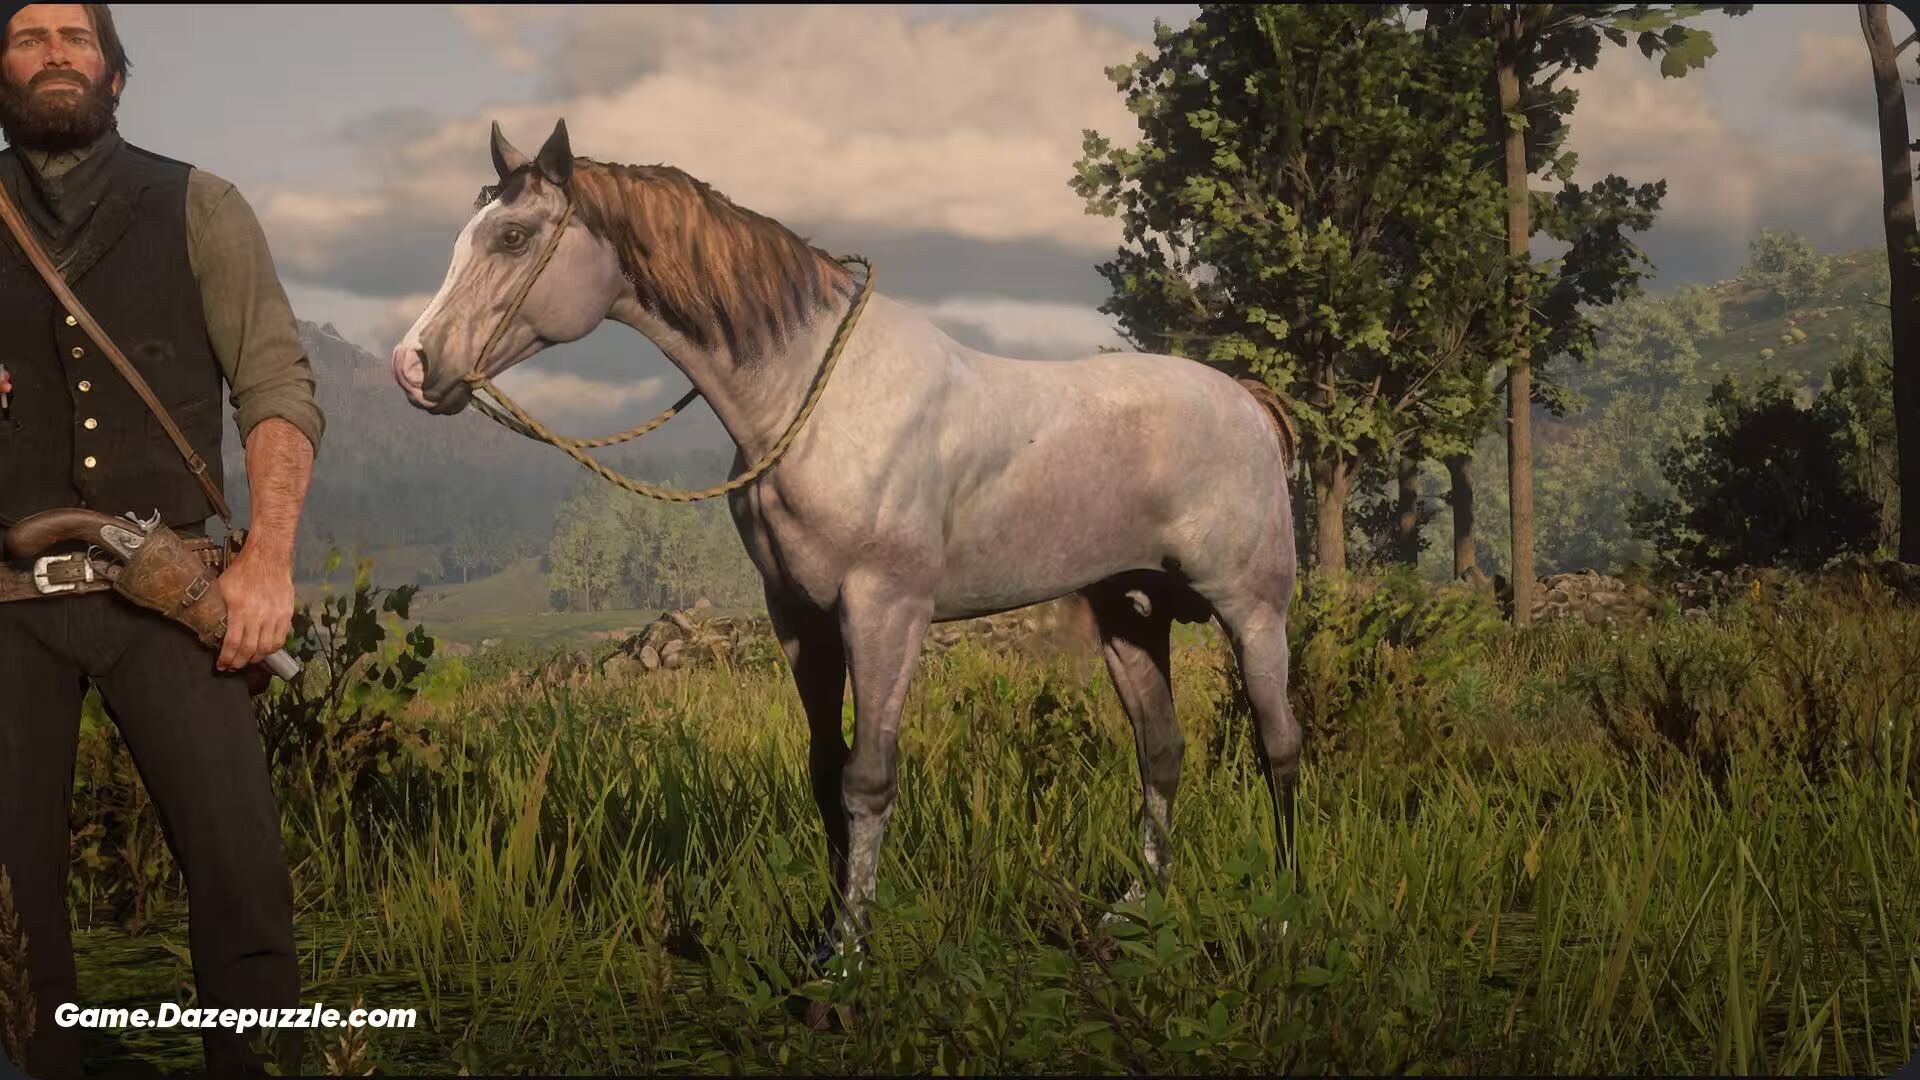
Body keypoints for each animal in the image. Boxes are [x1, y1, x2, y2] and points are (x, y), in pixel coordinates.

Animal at [391, 118, 1305, 982]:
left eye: (513, 237)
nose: (414, 365)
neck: (813, 399)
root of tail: (1249, 403)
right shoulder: (801, 617)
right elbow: (825, 774)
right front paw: (824, 939)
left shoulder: (885, 610)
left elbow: (869, 779)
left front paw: (850, 961)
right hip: (1128, 615)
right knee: (1162, 750)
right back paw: (1136, 910)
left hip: (1252, 613)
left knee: (1280, 747)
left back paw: (1280, 915)